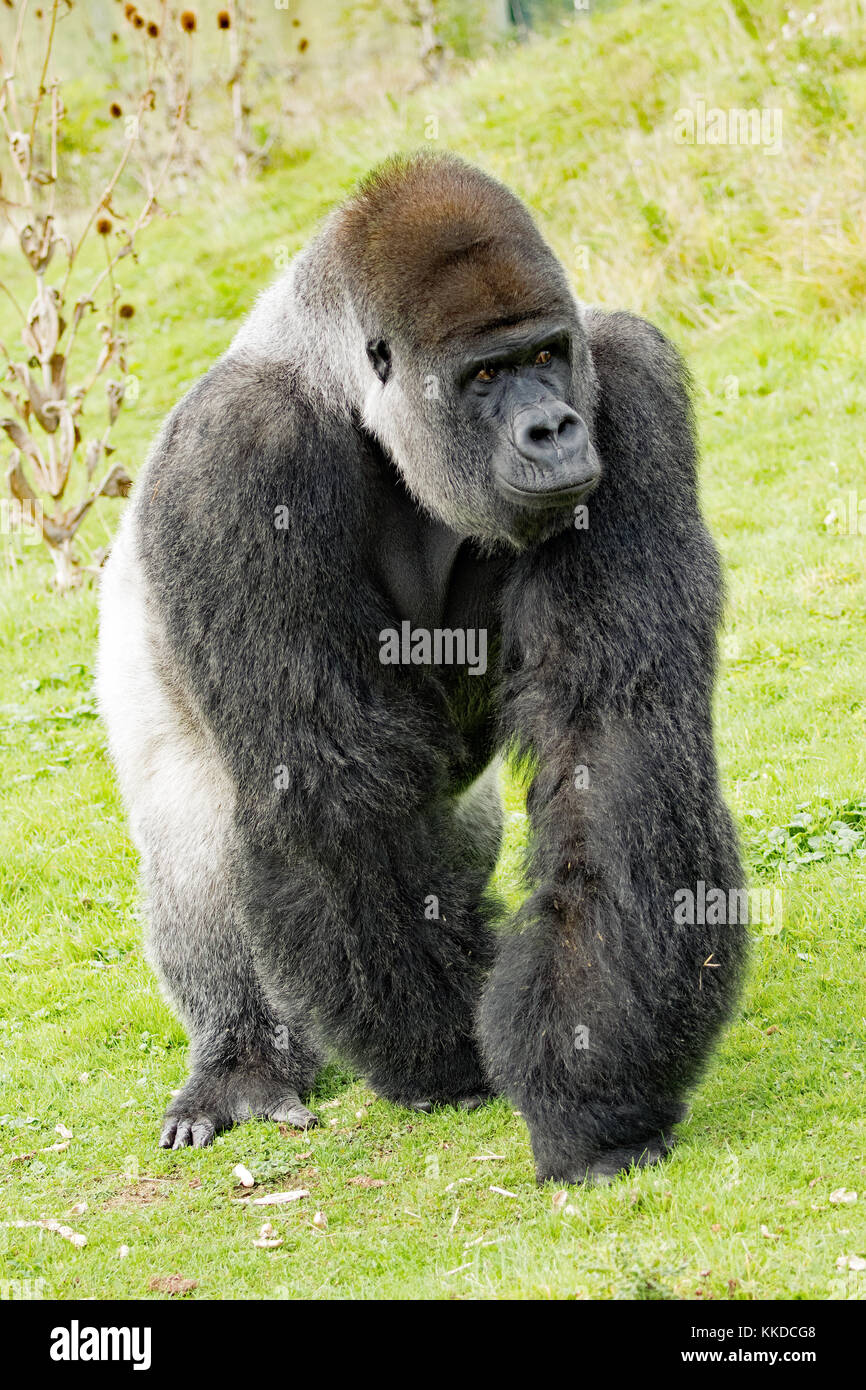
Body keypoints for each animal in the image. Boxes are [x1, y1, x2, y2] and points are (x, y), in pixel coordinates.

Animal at [97, 152, 746, 1182]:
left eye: (545, 357)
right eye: (483, 376)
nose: (555, 430)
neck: (352, 395)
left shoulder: (629, 383)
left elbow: (613, 742)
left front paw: (590, 1085)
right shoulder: (234, 455)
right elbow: (329, 776)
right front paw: (443, 1052)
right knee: (199, 843)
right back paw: (241, 1056)